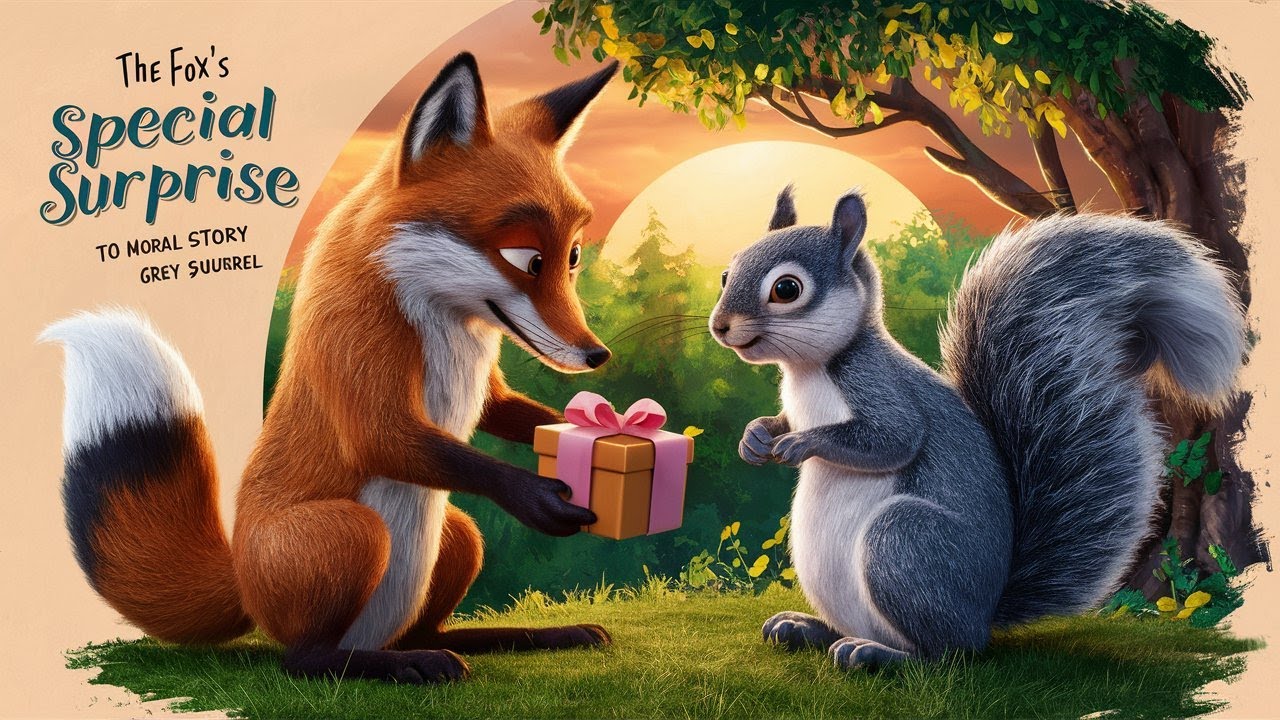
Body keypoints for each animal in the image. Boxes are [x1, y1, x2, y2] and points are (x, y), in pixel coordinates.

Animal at [42, 53, 621, 684]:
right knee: (305, 658)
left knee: (423, 629)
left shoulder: (483, 393)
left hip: (459, 536)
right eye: (527, 259)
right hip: (352, 533)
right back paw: (403, 665)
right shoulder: (356, 355)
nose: (597, 355)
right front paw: (539, 495)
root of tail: (242, 578)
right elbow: (383, 438)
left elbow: (509, 412)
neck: (442, 317)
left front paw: (600, 422)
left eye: (572, 257)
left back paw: (511, 638)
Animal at [709, 186, 1245, 669]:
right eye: (725, 273)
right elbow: (781, 420)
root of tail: (984, 615)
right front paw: (756, 437)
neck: (808, 370)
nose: (720, 326)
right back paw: (805, 628)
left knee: (945, 654)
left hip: (904, 545)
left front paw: (801, 443)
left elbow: (892, 441)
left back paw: (877, 655)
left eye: (787, 289)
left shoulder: (880, 389)